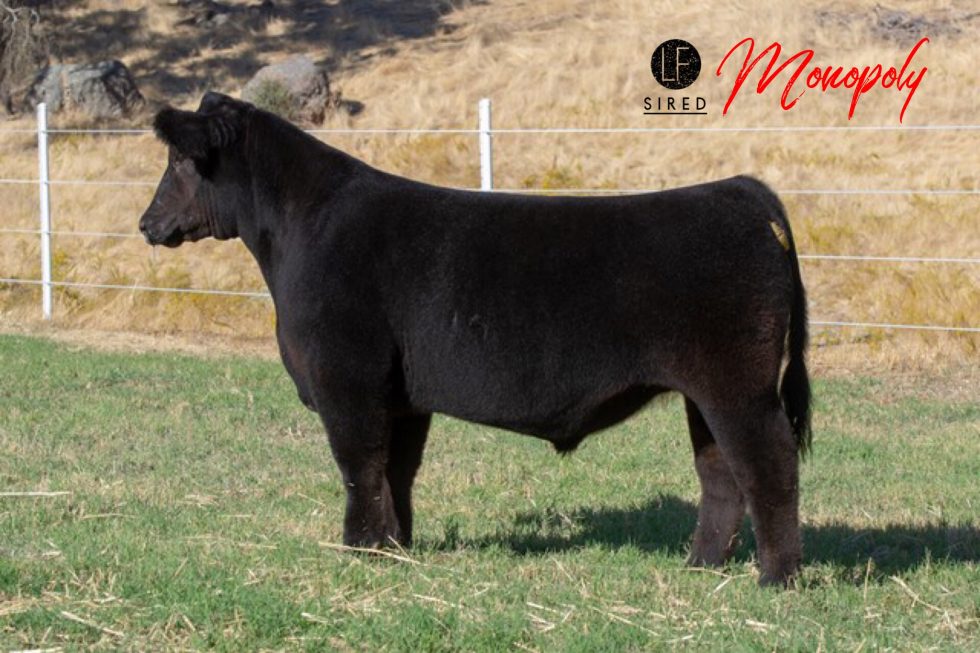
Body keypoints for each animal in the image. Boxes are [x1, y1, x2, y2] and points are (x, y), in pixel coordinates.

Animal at [139, 92, 812, 586]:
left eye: (181, 165)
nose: (147, 223)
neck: (302, 230)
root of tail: (738, 190)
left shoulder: (346, 380)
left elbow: (359, 465)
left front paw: (361, 550)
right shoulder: (402, 396)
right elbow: (396, 470)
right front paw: (395, 546)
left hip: (739, 387)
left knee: (768, 465)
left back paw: (776, 578)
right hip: (705, 393)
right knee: (720, 473)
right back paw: (700, 565)